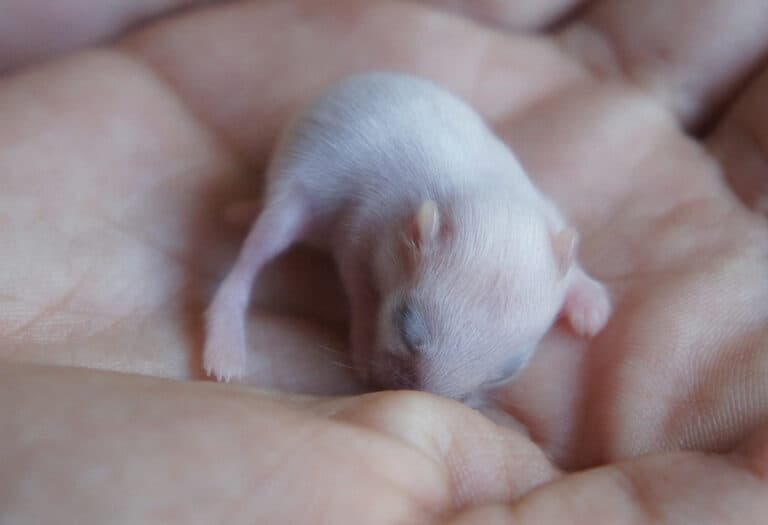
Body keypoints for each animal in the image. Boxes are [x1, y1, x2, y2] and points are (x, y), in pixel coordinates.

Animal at [203, 72, 611, 406]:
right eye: (405, 325)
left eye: (509, 369)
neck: (480, 193)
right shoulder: (360, 229)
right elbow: (359, 288)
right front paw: (363, 348)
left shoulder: (547, 211)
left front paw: (591, 307)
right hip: (289, 198)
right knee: (252, 259)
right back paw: (225, 348)